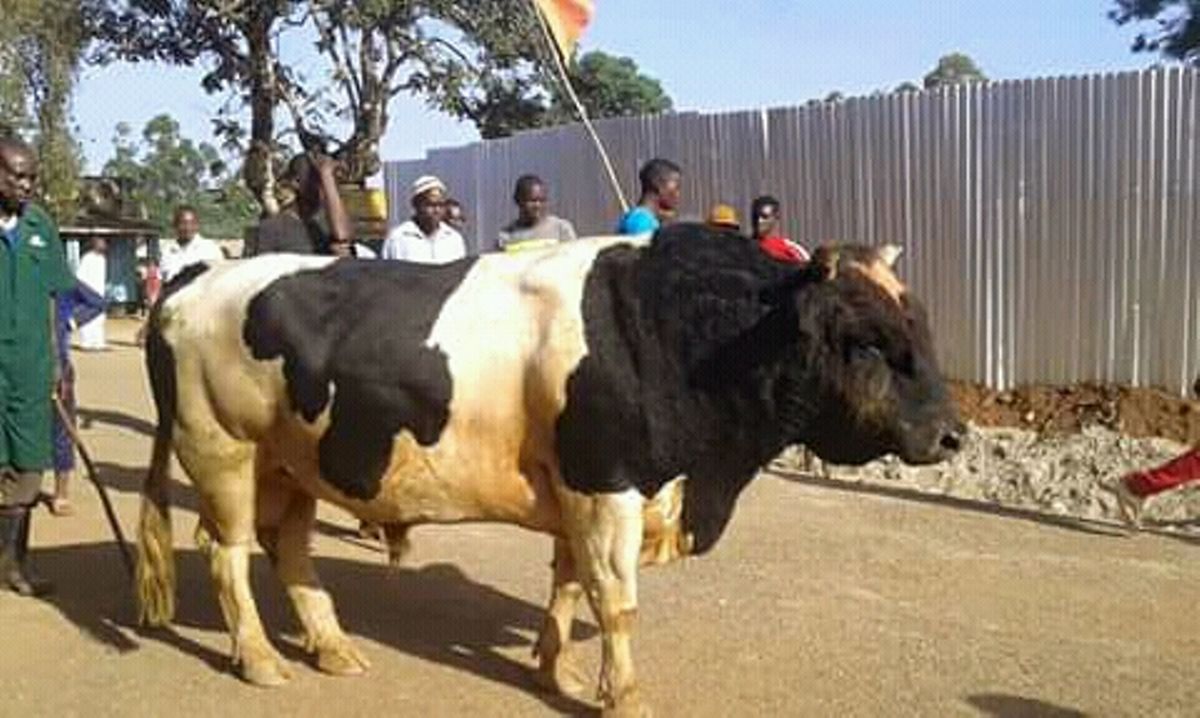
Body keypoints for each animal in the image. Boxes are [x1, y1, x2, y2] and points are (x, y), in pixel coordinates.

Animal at [136, 223, 962, 717]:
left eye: (919, 326)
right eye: (865, 340)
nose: (952, 434)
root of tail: (196, 276)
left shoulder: (581, 492)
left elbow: (568, 586)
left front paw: (554, 672)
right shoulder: (606, 484)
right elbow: (614, 602)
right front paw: (622, 696)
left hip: (293, 462)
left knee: (290, 551)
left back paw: (331, 647)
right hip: (223, 452)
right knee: (227, 553)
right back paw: (258, 657)